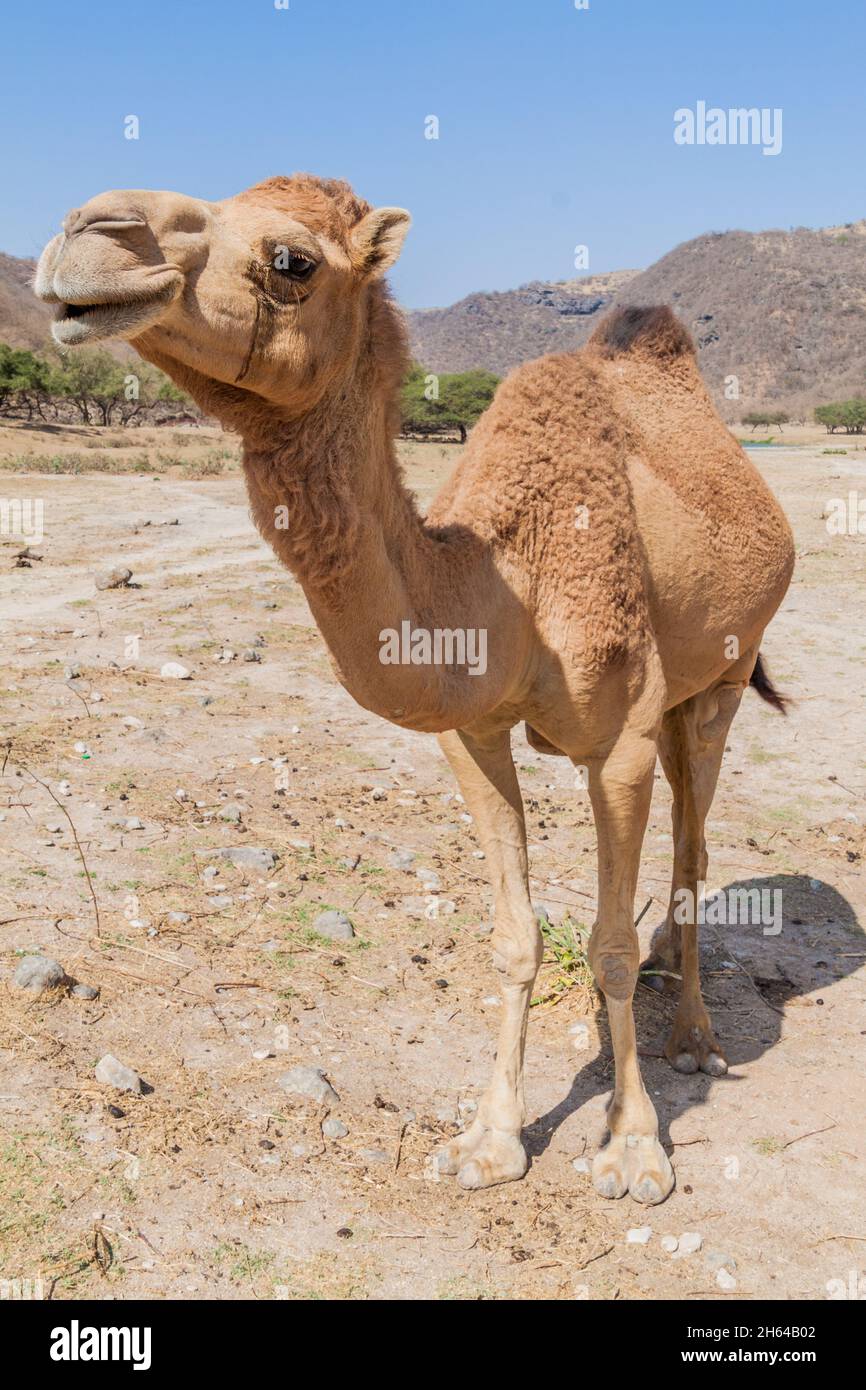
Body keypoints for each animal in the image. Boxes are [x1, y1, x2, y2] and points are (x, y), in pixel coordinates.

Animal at [35, 174, 794, 1204]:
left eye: (292, 261)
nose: (88, 233)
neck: (508, 582)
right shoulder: (468, 733)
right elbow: (515, 937)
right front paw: (489, 1140)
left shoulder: (623, 742)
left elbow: (608, 947)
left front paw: (634, 1148)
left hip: (721, 675)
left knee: (692, 846)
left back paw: (697, 1040)